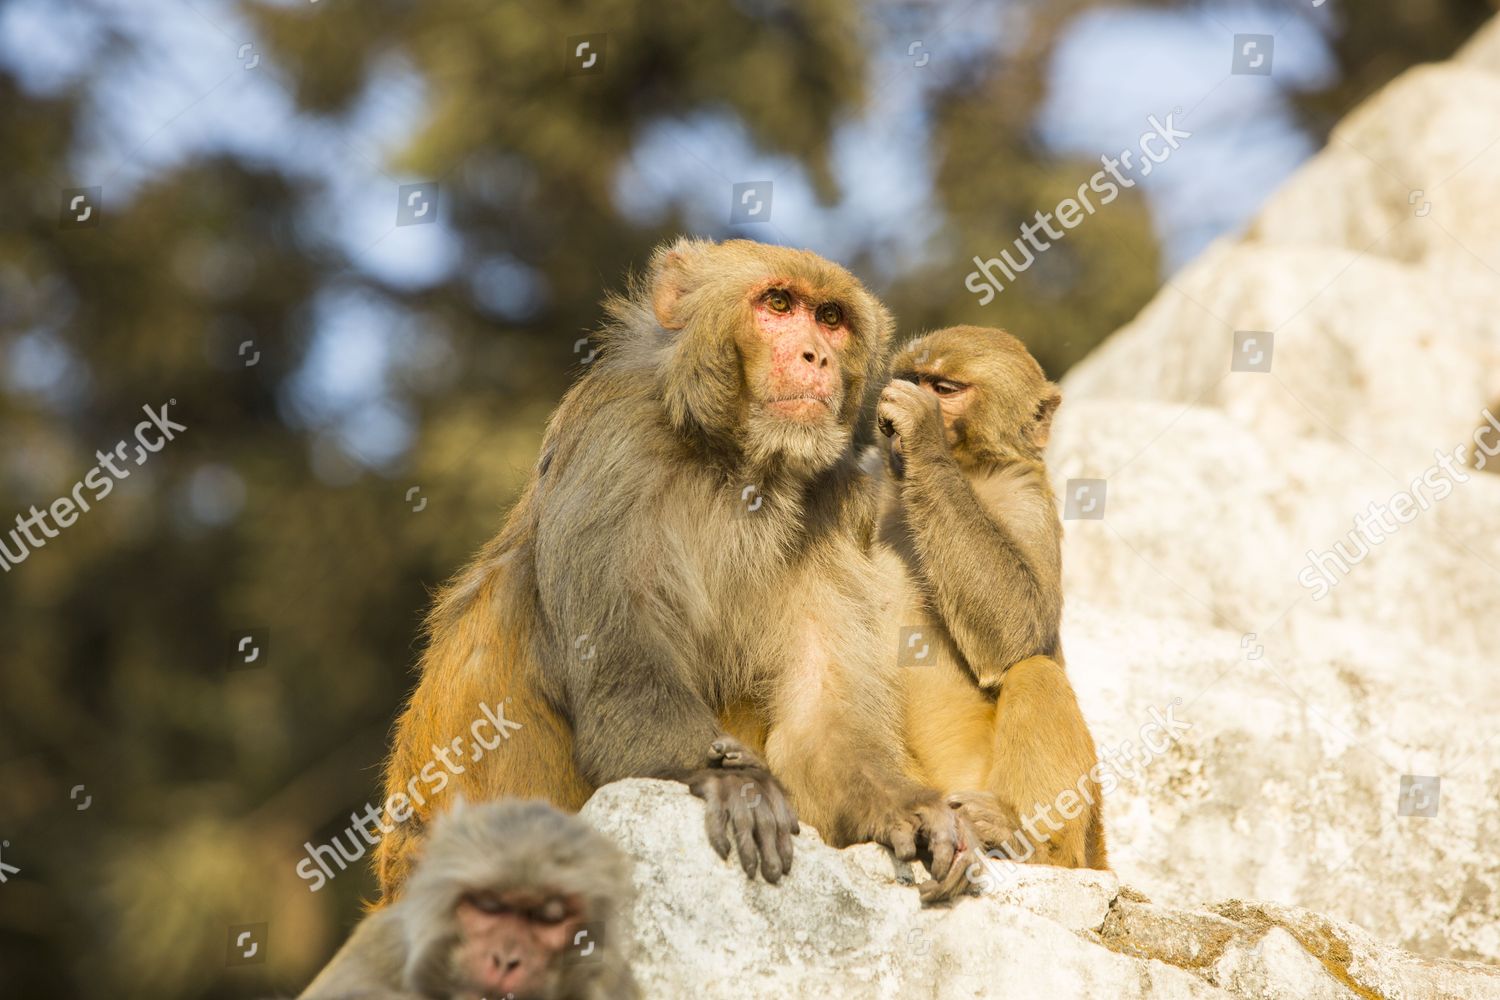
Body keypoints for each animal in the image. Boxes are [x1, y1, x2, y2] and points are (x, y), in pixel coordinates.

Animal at [375, 238, 967, 905]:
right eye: (779, 304)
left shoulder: (836, 502)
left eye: (831, 318)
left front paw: (904, 806)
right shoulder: (614, 439)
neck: (735, 463)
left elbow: (819, 730)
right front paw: (723, 778)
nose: (815, 355)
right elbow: (621, 671)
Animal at [867, 325, 1108, 871]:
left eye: (944, 389)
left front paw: (924, 437)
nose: (892, 426)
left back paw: (1026, 839)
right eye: (913, 376)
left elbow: (1021, 630)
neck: (971, 473)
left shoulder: (1027, 500)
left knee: (1036, 672)